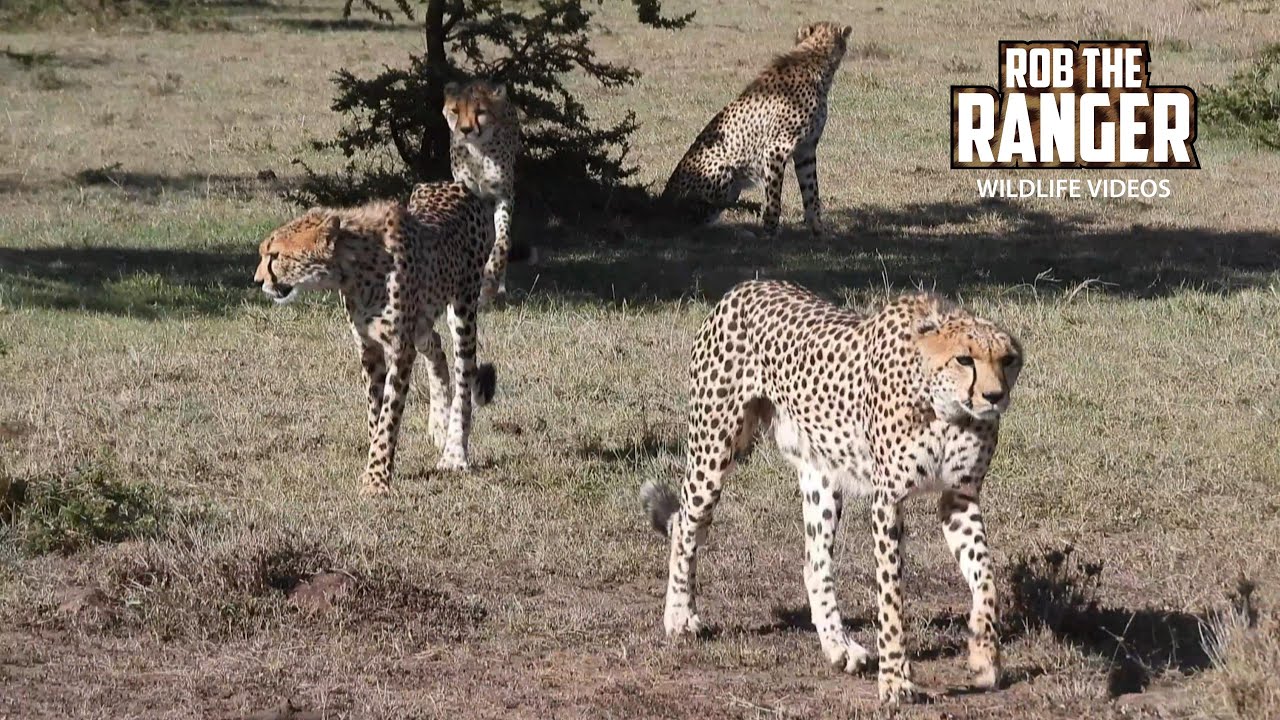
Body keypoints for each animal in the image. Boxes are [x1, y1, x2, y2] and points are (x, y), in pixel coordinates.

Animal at [252, 183, 498, 495]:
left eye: (275, 255)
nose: (258, 281)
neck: (354, 267)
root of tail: (456, 185)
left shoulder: (399, 348)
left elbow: (389, 416)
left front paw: (377, 479)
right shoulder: (368, 347)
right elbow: (374, 412)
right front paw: (374, 465)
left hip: (463, 307)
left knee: (464, 378)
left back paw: (454, 452)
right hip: (422, 324)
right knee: (436, 346)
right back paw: (439, 425)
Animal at [443, 79, 522, 303]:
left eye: (480, 111)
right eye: (455, 110)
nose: (465, 130)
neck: (478, 151)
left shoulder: (503, 196)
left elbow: (503, 239)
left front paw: (490, 282)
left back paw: (498, 289)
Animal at [641, 280, 1024, 703]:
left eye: (1007, 360)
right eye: (964, 359)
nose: (994, 396)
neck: (946, 410)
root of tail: (746, 285)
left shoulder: (960, 496)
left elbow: (985, 579)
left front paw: (985, 658)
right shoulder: (887, 501)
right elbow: (891, 598)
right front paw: (895, 680)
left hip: (821, 477)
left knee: (815, 563)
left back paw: (839, 647)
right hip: (715, 449)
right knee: (685, 524)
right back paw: (679, 616)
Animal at [660, 22, 852, 239]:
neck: (814, 58)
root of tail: (660, 202)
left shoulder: (806, 149)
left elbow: (811, 193)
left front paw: (818, 230)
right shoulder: (776, 149)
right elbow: (773, 199)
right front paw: (770, 232)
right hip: (722, 170)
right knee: (690, 226)